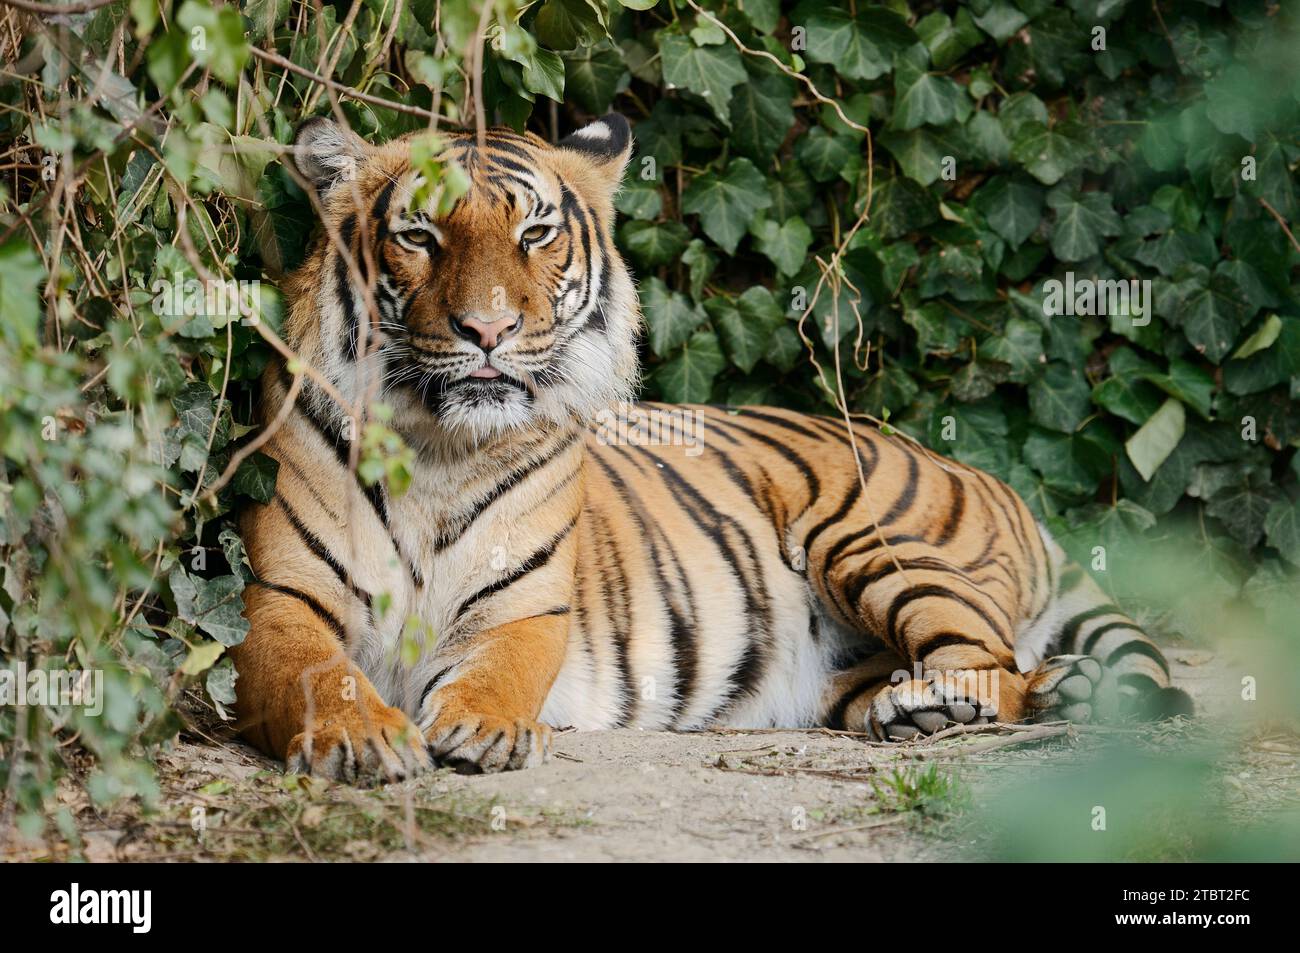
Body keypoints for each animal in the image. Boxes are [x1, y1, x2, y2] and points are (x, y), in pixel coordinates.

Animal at [230, 112, 1192, 780]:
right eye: (419, 236)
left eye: (535, 234)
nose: (488, 330)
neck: (437, 446)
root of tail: (983, 475)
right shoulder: (279, 598)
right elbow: (316, 672)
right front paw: (361, 736)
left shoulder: (524, 608)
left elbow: (498, 670)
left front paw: (485, 726)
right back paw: (936, 705)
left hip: (868, 536)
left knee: (999, 664)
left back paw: (936, 705)